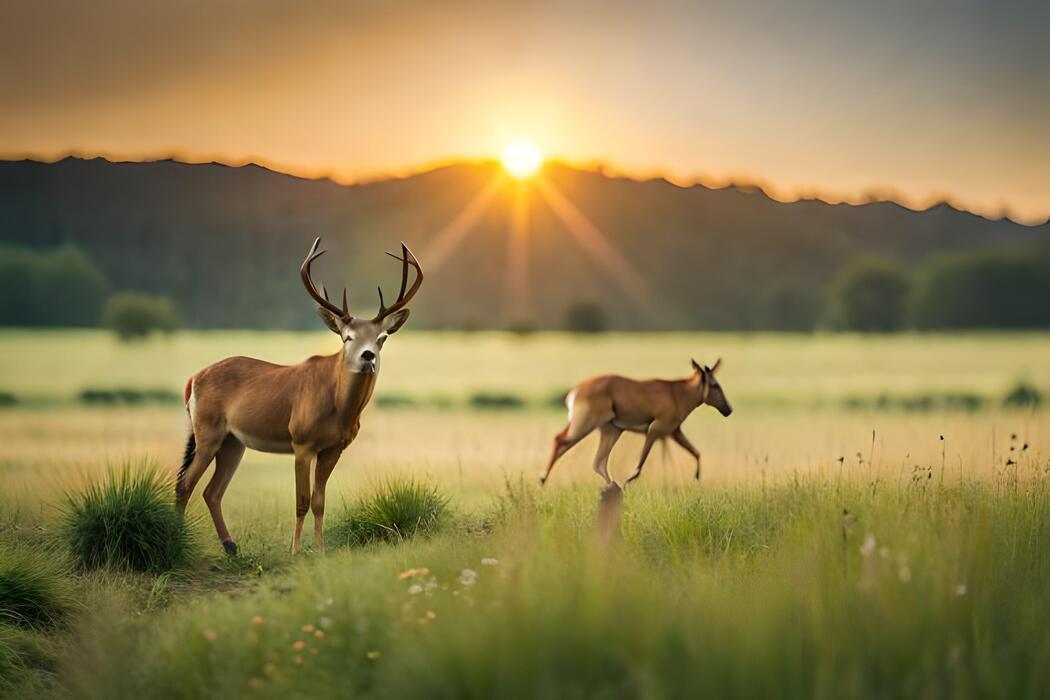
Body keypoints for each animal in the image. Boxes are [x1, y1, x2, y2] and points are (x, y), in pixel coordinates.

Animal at [175, 237, 422, 555]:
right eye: (347, 337)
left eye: (381, 338)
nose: (368, 356)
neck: (339, 408)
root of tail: (193, 379)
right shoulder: (302, 442)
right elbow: (301, 502)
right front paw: (295, 551)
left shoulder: (334, 448)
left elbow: (319, 501)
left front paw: (320, 551)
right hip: (207, 431)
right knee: (185, 483)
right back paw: (177, 541)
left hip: (233, 442)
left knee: (211, 491)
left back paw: (231, 546)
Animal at [541, 359, 732, 487]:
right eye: (714, 384)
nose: (728, 409)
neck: (678, 393)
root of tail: (573, 392)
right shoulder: (656, 430)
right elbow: (641, 462)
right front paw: (628, 480)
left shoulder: (674, 432)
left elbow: (696, 453)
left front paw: (697, 477)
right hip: (586, 426)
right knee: (560, 440)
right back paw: (542, 480)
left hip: (611, 429)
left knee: (598, 462)